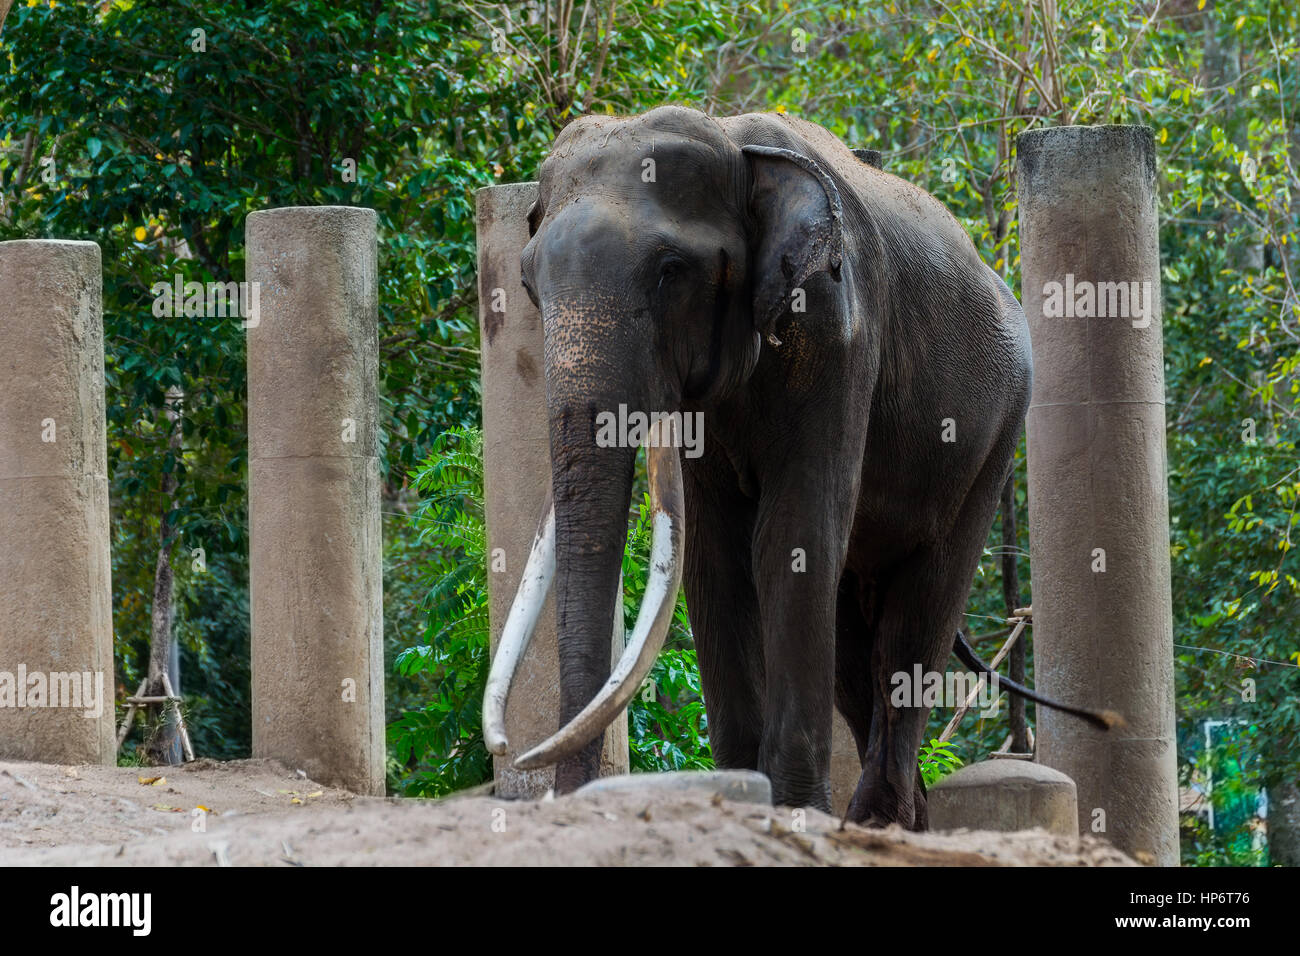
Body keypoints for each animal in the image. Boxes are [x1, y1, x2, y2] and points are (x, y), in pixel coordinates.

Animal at [482, 105, 1110, 828]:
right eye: (528, 284)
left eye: (670, 270)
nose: (521, 758)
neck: (737, 149)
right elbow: (715, 556)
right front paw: (741, 793)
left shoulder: (836, 331)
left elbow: (789, 539)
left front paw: (795, 811)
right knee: (852, 635)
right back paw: (903, 820)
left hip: (997, 436)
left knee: (916, 616)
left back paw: (878, 818)